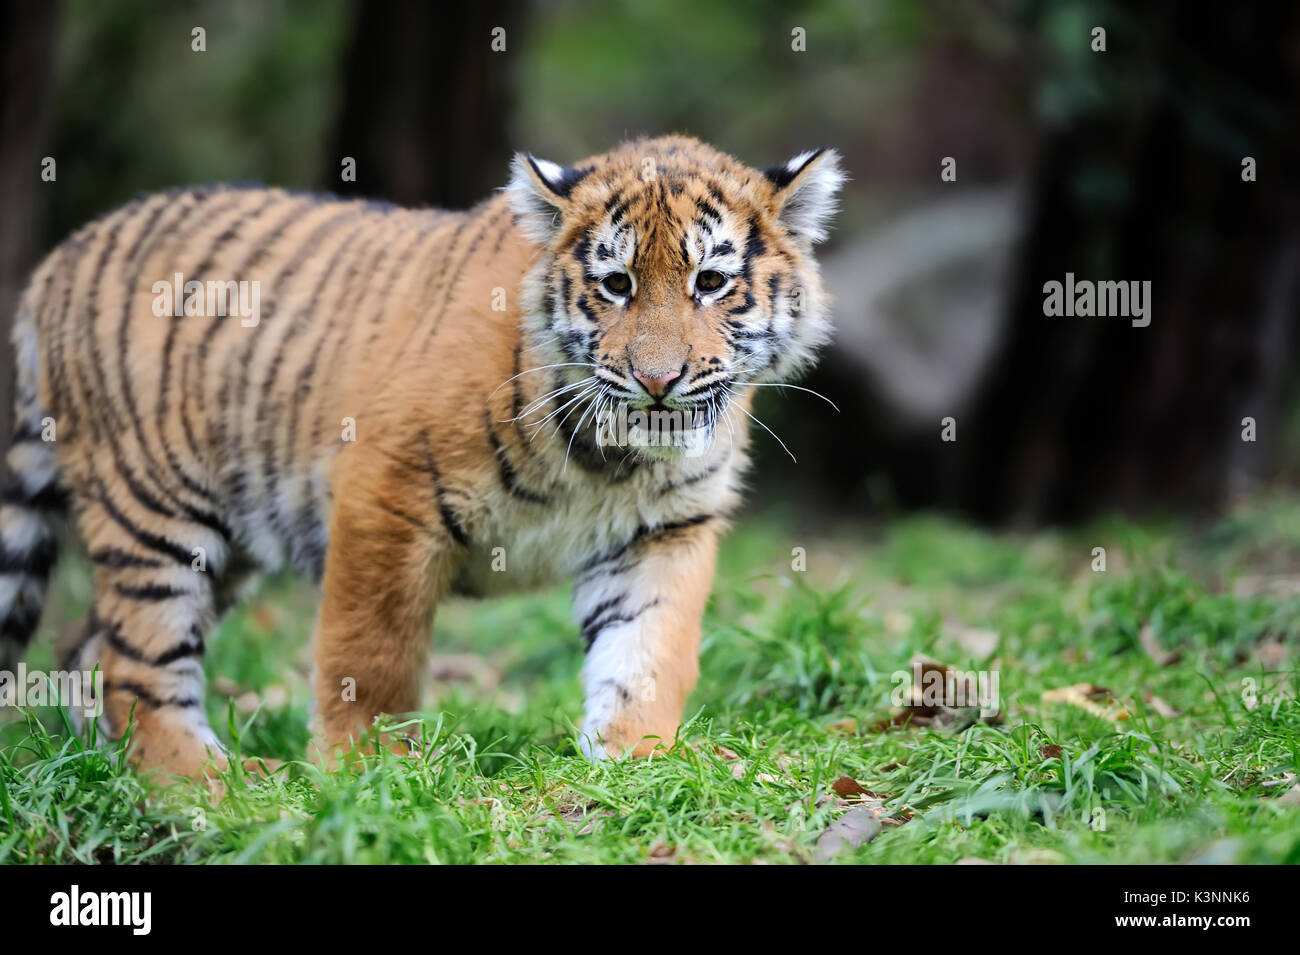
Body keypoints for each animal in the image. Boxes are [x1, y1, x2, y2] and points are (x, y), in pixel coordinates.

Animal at [0, 135, 843, 779]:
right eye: (615, 283)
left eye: (711, 281)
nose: (658, 380)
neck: (611, 459)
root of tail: (58, 260)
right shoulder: (386, 493)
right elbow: (369, 653)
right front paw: (365, 769)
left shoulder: (664, 533)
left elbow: (646, 652)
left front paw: (636, 757)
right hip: (157, 512)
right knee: (136, 665)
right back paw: (203, 781)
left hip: (224, 540)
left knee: (85, 648)